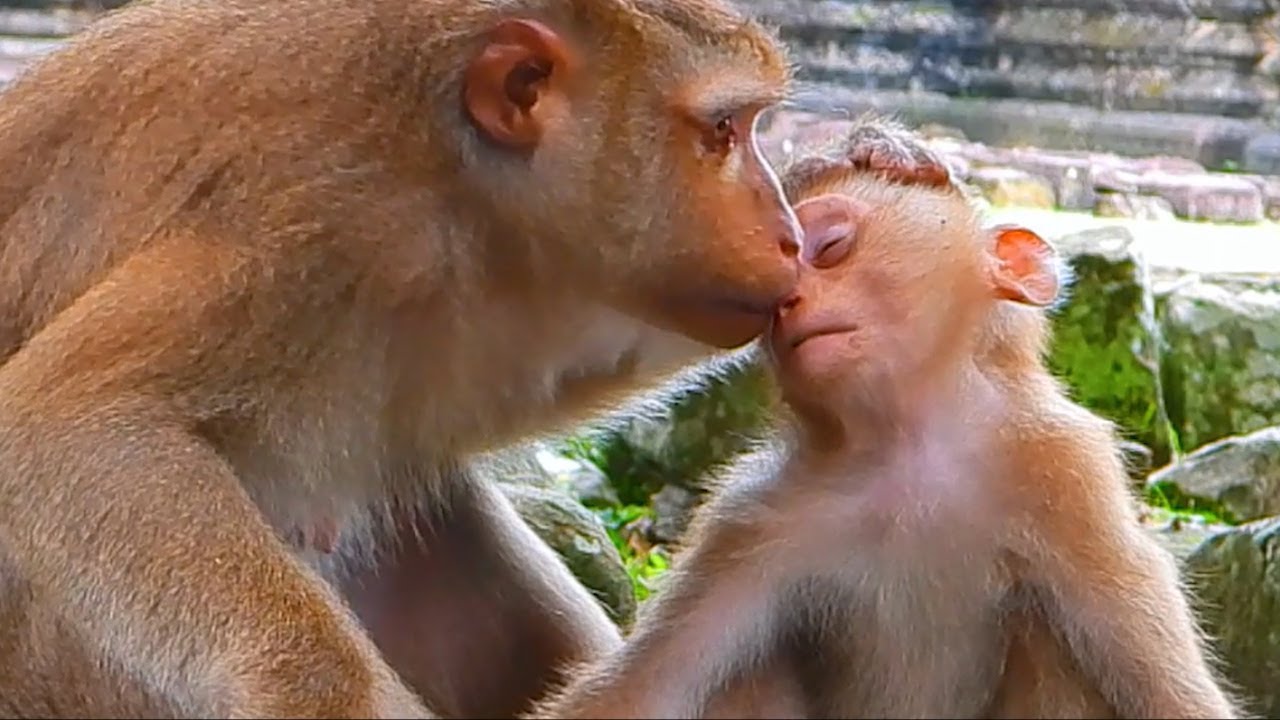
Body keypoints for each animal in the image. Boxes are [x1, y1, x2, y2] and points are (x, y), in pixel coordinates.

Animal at [0, 0, 813, 715]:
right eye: (721, 130)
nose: (788, 236)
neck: (451, 166)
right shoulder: (320, 221)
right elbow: (68, 424)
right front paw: (322, 687)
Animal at [533, 137, 1242, 720]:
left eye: (830, 247)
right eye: (779, 284)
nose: (791, 302)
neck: (909, 451)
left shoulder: (1067, 474)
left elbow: (1168, 692)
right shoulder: (752, 520)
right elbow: (639, 690)